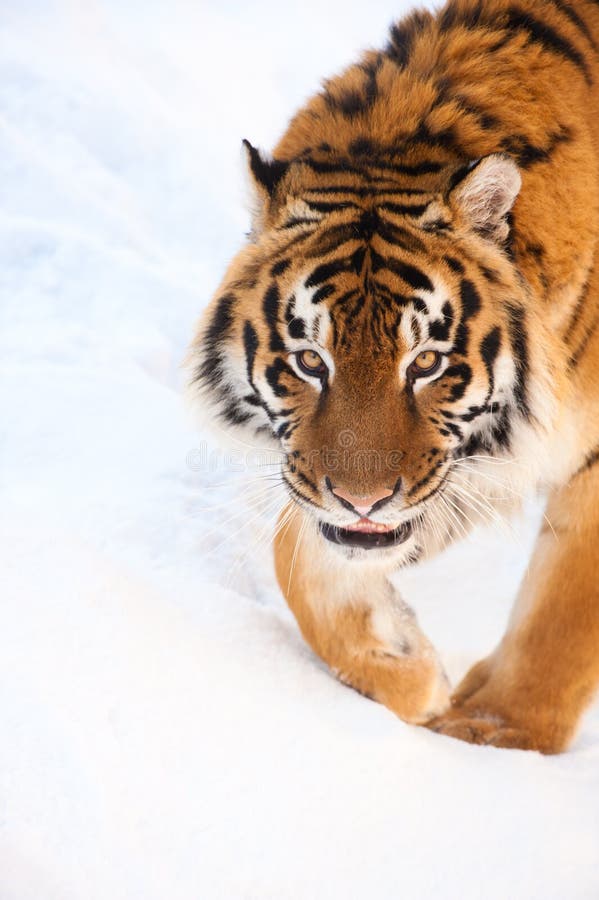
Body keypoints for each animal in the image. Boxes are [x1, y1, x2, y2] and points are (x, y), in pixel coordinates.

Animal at [187, 0, 599, 753]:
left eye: (426, 363)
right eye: (310, 361)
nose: (362, 500)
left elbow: (563, 611)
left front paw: (497, 738)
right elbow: (298, 554)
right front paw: (405, 666)